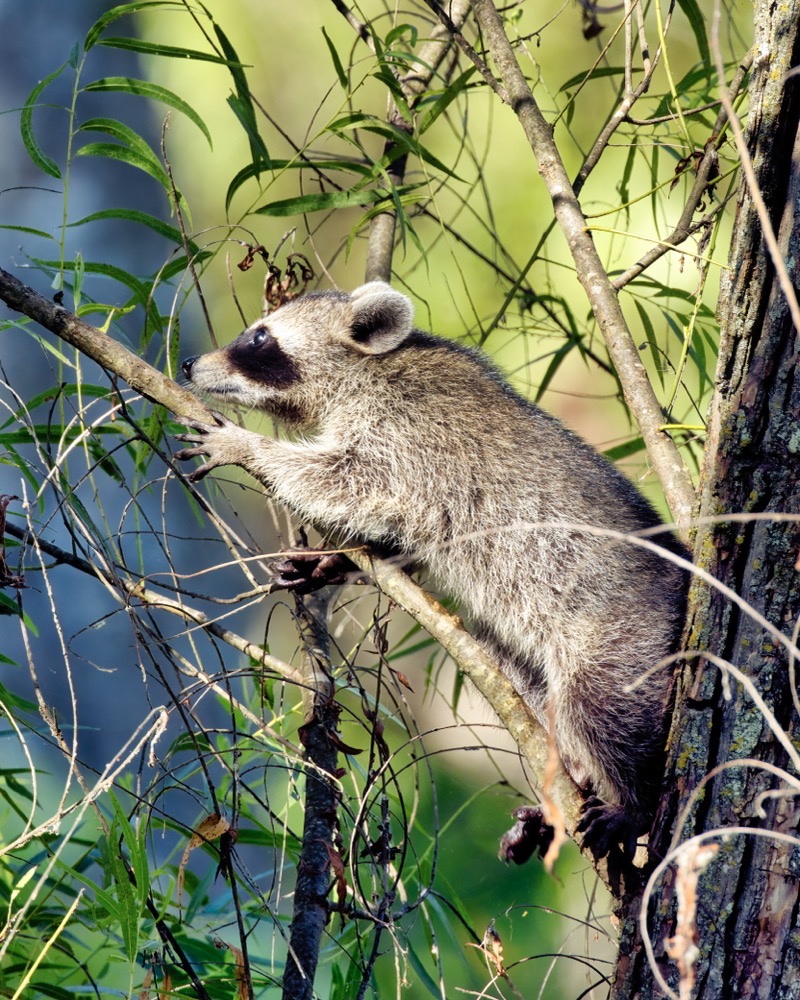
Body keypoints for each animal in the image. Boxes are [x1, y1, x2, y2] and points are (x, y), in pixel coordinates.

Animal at [176, 281, 689, 860]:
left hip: (622, 633)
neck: (364, 370)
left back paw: (634, 798)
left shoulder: (411, 433)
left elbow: (351, 481)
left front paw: (248, 446)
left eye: (260, 338)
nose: (189, 363)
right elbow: (397, 533)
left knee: (603, 707)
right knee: (541, 697)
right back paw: (571, 783)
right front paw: (335, 560)